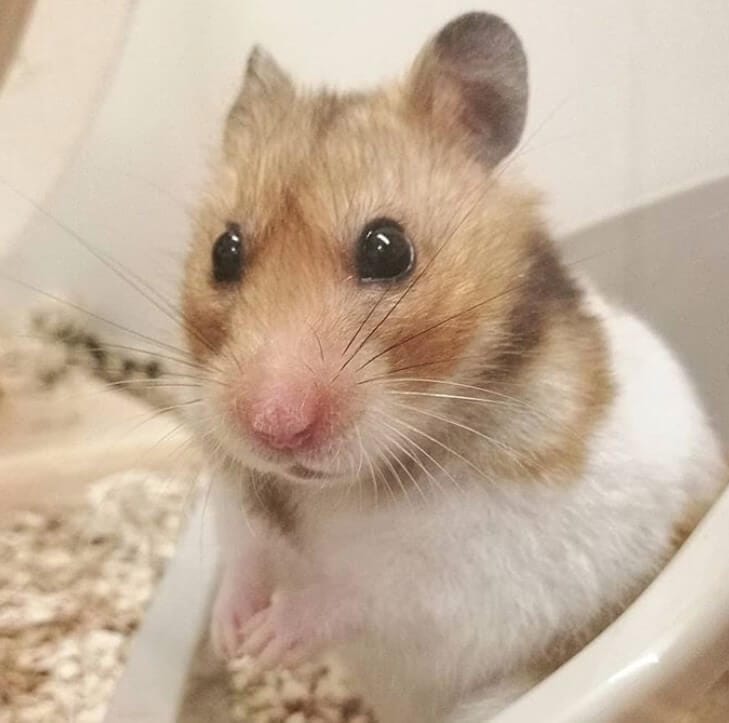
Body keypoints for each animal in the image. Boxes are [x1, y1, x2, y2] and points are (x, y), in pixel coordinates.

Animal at [181, 12, 727, 722]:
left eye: (387, 249)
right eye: (224, 251)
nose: (274, 428)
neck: (336, 487)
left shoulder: (466, 571)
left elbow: (364, 591)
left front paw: (270, 641)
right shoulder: (236, 497)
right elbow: (243, 555)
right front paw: (230, 639)